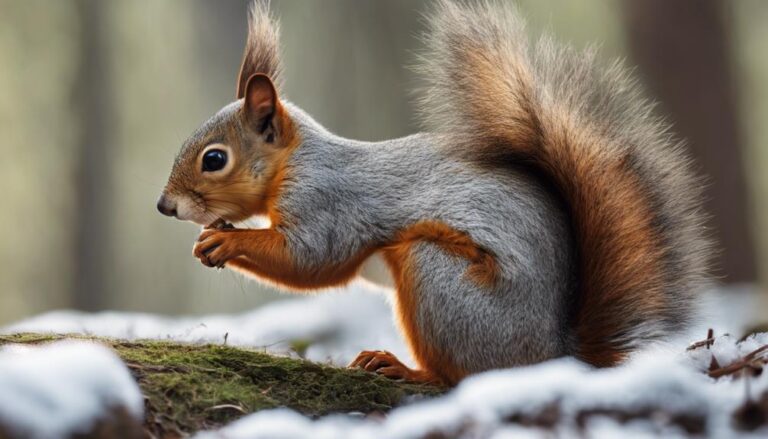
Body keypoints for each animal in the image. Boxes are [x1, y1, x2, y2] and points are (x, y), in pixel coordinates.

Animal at [157, 1, 710, 386]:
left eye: (214, 159)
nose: (165, 206)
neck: (296, 162)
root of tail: (555, 355)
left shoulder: (329, 203)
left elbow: (312, 259)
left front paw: (227, 241)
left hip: (441, 282)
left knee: (461, 376)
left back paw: (406, 369)